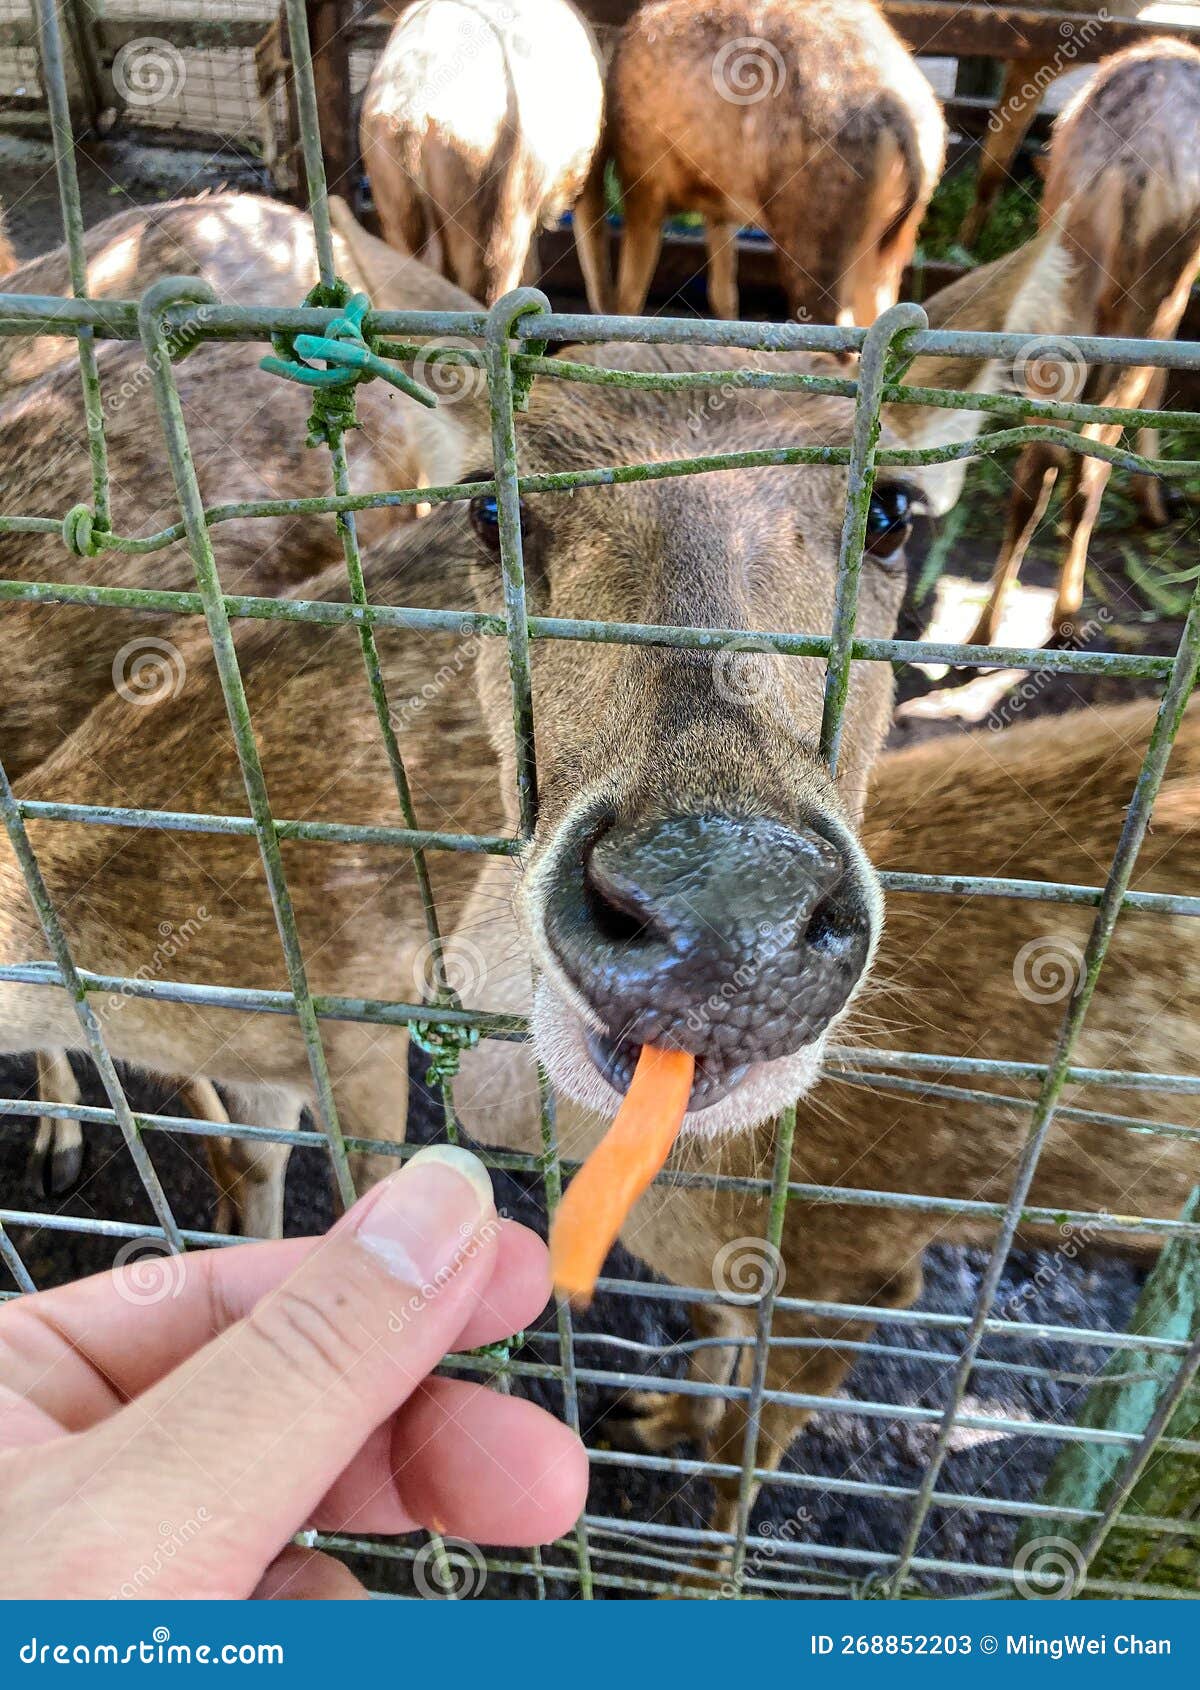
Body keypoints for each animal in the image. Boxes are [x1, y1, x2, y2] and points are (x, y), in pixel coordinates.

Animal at [573, 0, 946, 324]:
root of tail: (898, 117)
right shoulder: (716, 200)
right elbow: (723, 292)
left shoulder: (643, 176)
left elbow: (631, 296)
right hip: (888, 245)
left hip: (814, 236)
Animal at [967, 37, 1200, 649]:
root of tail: (1131, 166)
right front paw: (1157, 499)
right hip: (1146, 298)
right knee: (1091, 456)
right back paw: (1066, 614)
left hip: (1065, 276)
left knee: (1040, 456)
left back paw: (983, 630)